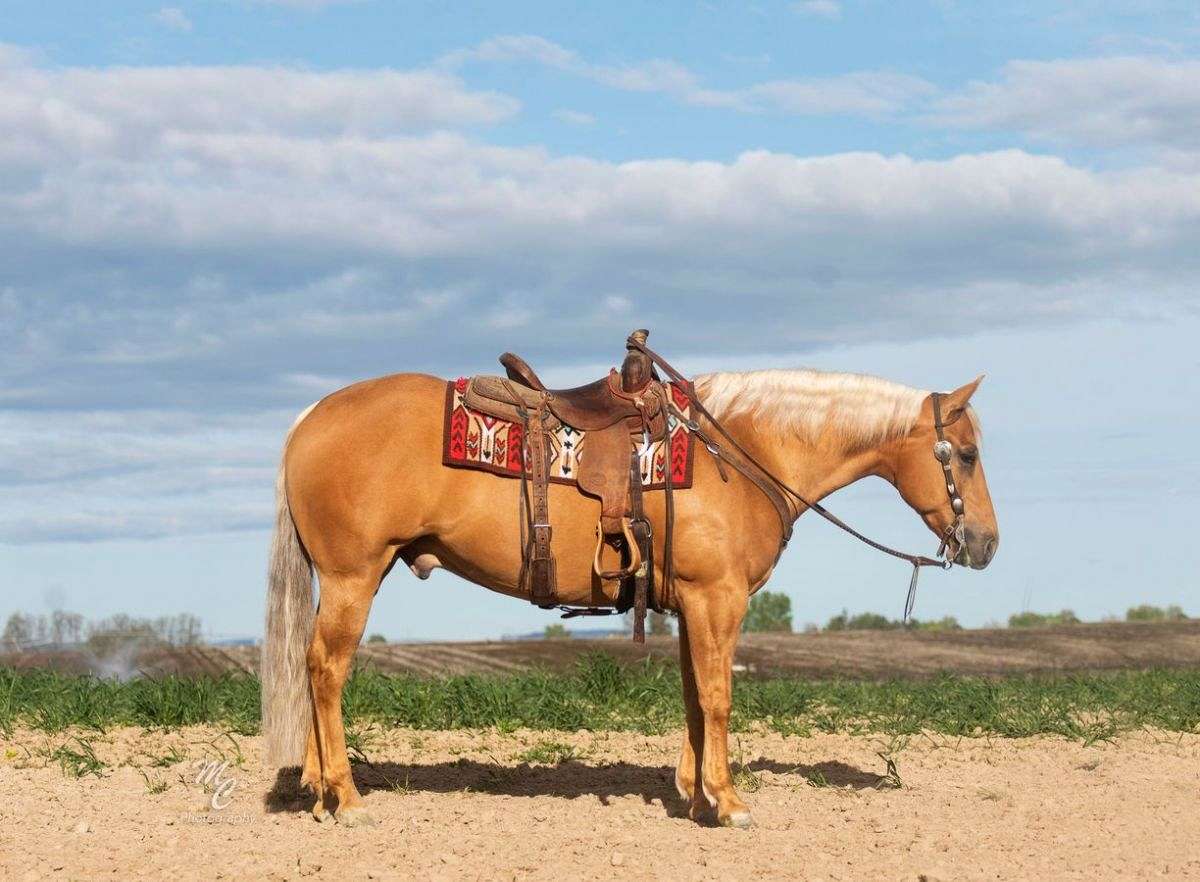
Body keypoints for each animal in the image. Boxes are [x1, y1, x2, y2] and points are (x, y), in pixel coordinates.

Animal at [261, 364, 998, 829]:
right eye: (964, 454)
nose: (986, 543)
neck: (740, 454)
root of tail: (309, 418)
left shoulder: (692, 606)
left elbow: (695, 698)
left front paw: (696, 798)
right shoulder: (718, 599)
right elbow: (719, 697)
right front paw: (729, 803)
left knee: (313, 669)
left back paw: (322, 795)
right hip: (355, 577)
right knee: (326, 670)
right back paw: (348, 799)